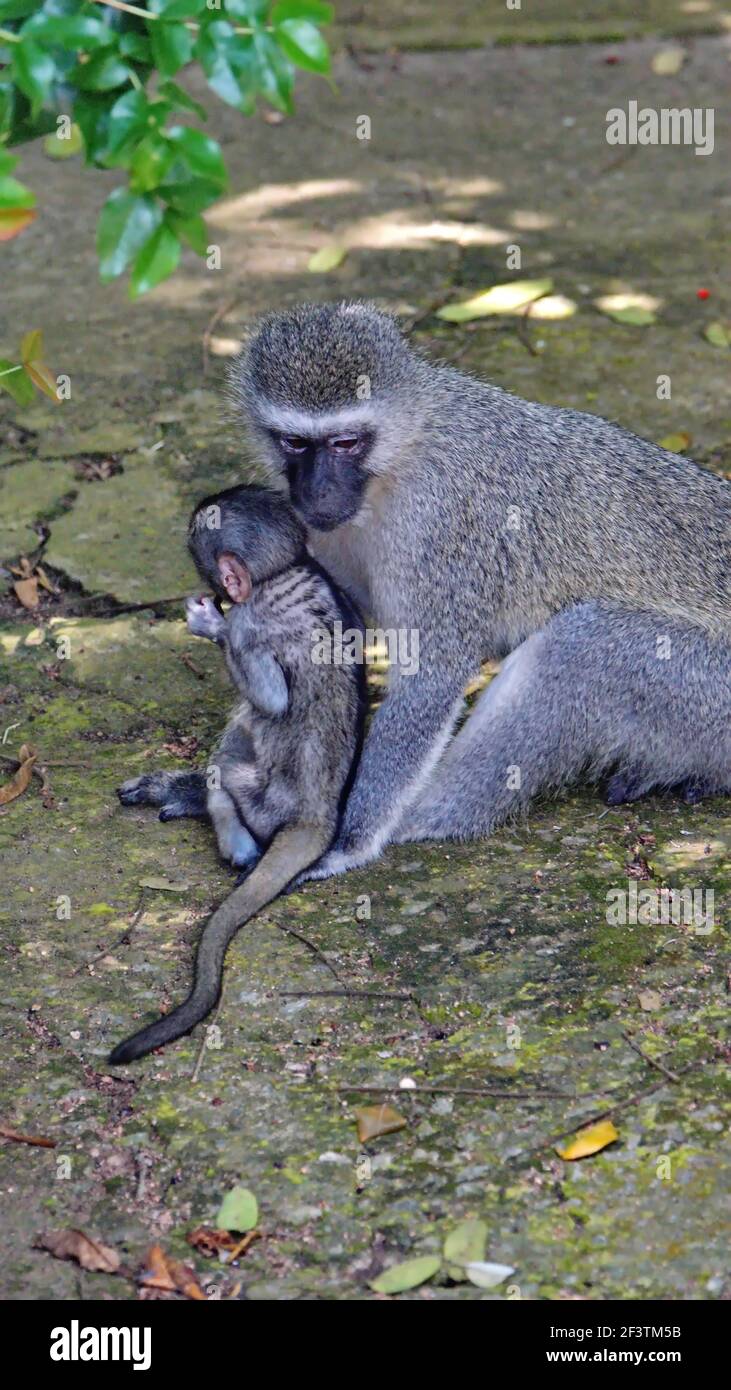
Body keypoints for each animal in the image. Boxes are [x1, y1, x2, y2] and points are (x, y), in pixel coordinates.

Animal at [111, 485, 365, 1063]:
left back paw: (232, 830)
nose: (215, 599)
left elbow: (271, 696)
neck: (285, 571)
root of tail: (318, 817)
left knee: (238, 741)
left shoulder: (253, 618)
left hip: (263, 797)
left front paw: (213, 626)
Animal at [220, 299, 730, 877]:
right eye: (295, 443)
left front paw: (345, 840)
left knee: (578, 647)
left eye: (346, 443)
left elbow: (432, 673)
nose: (319, 490)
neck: (400, 460)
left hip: (710, 696)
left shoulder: (443, 523)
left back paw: (425, 816)